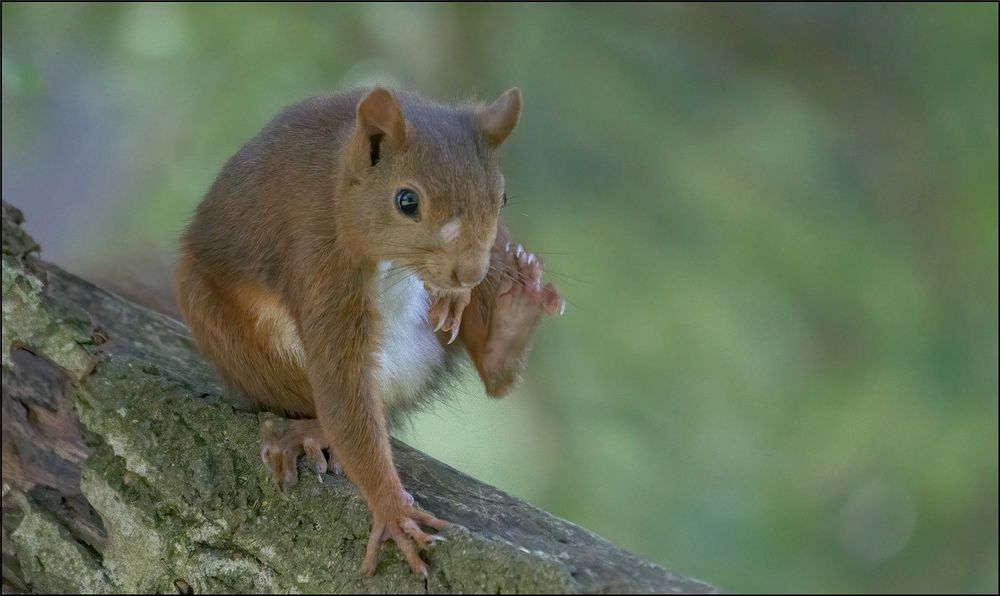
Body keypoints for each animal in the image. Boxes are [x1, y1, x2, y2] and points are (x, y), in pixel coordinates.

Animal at [173, 86, 564, 577]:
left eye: (503, 196)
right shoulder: (319, 252)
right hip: (239, 337)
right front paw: (393, 511)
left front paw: (457, 298)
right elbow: (341, 383)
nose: (468, 274)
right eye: (406, 201)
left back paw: (511, 322)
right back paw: (309, 432)